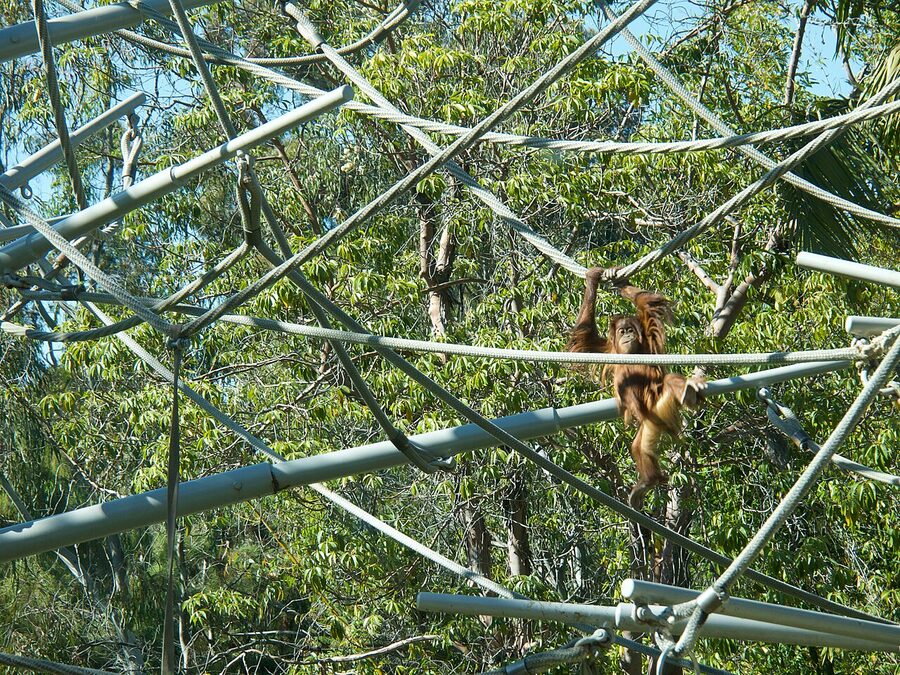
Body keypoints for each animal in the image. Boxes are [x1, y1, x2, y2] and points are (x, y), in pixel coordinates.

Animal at [566, 267, 706, 509]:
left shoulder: (649, 337)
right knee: (639, 447)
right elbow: (584, 336)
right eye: (622, 331)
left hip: (659, 402)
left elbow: (649, 303)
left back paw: (688, 391)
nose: (628, 334)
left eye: (630, 329)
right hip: (650, 421)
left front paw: (619, 281)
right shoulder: (608, 349)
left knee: (669, 381)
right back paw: (648, 482)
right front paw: (596, 277)